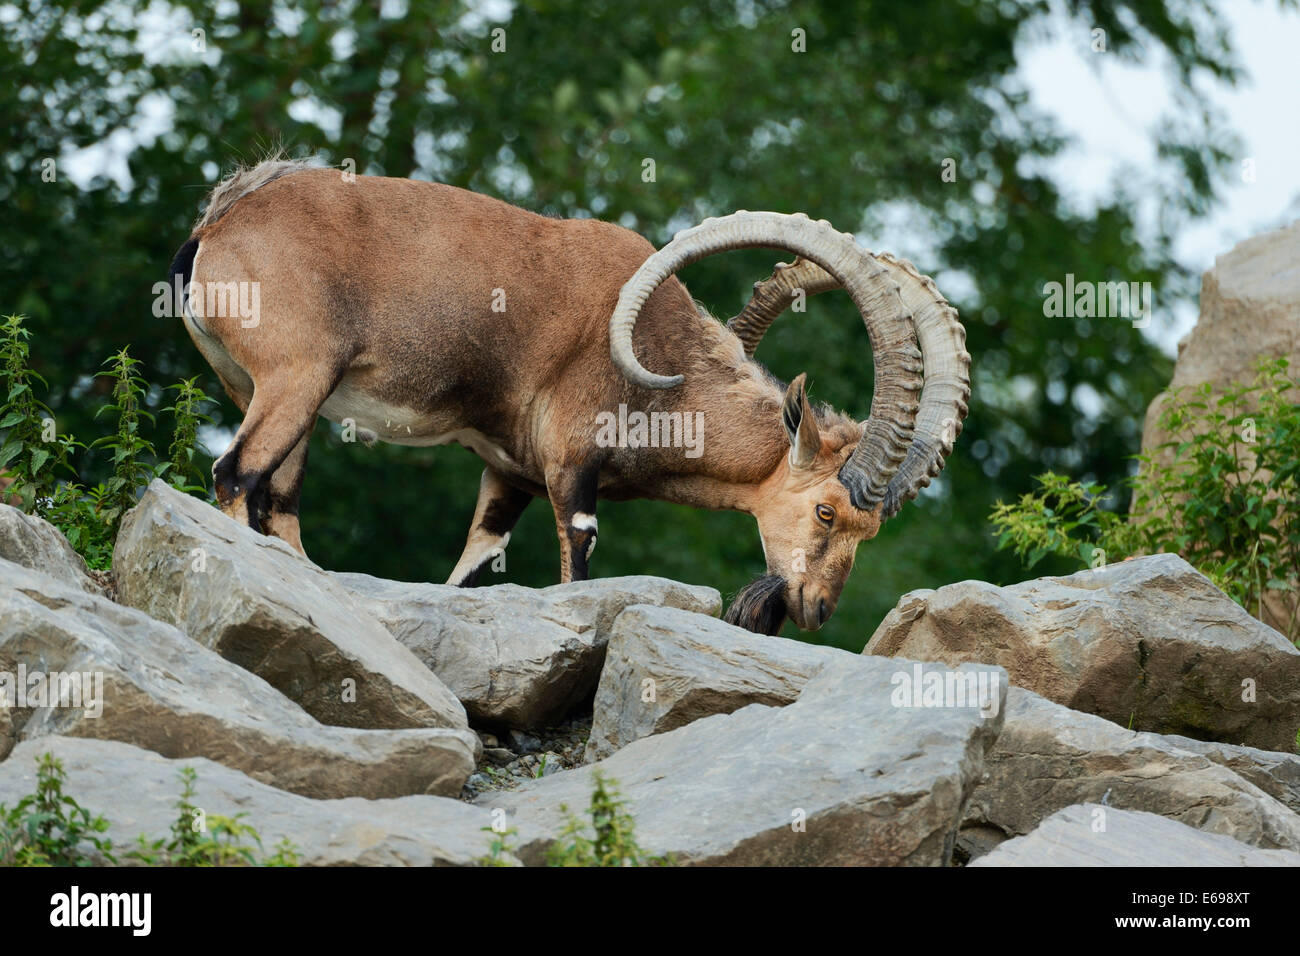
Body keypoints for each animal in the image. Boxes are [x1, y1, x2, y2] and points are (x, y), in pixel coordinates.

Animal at [170, 159, 969, 633]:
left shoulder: (509, 472)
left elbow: (473, 563)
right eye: (827, 510)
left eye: (870, 532)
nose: (816, 609)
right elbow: (577, 564)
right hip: (295, 378)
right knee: (234, 475)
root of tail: (216, 228)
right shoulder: (570, 465)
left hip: (265, 391)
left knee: (279, 501)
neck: (663, 366)